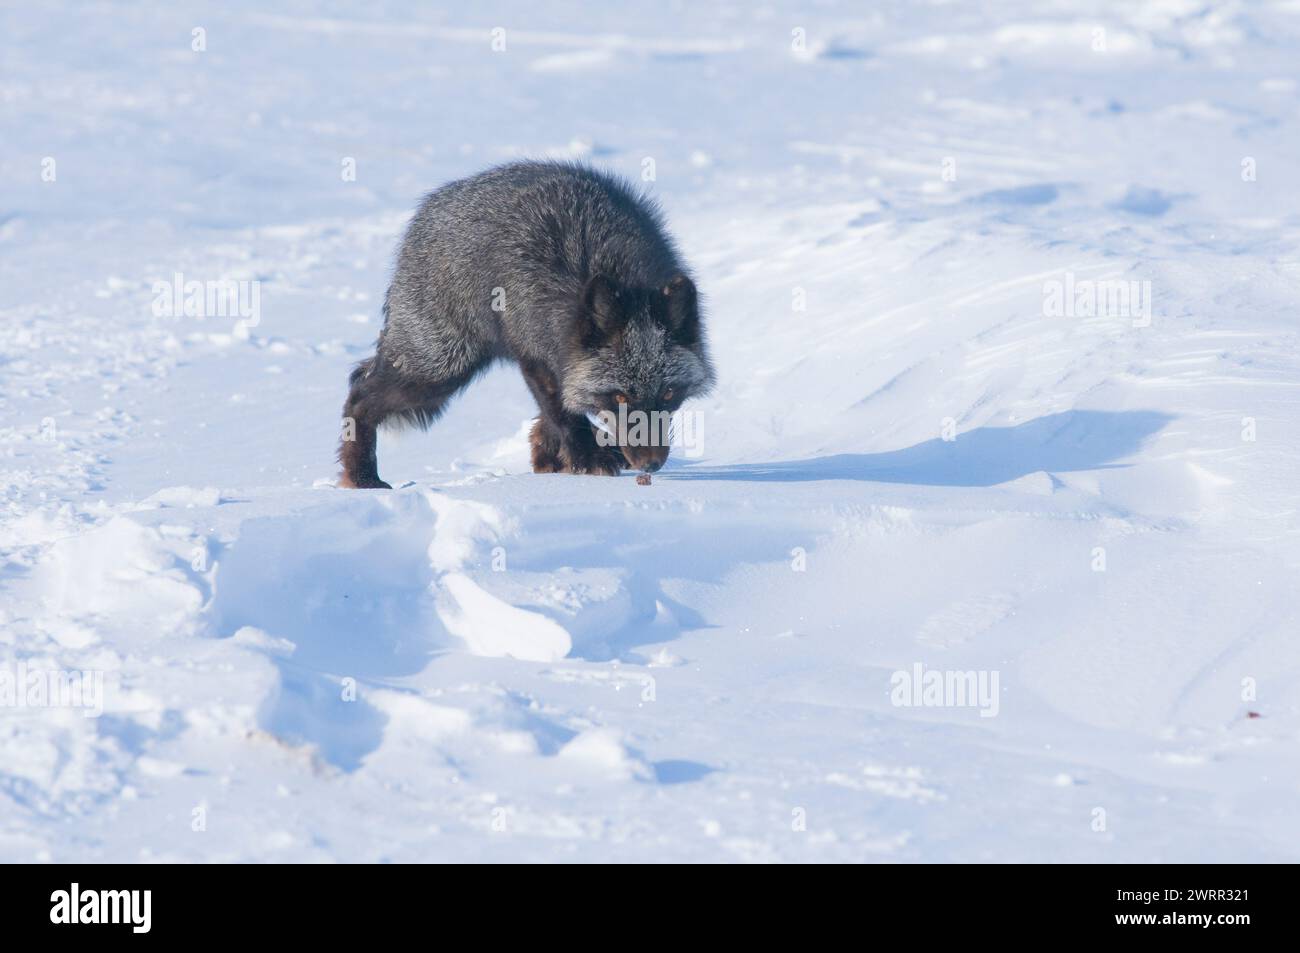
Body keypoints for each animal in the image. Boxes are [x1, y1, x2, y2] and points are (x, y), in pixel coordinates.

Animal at [338, 161, 715, 489]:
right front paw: (587, 459)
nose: (650, 465)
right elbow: (563, 413)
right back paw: (362, 479)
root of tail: (429, 207)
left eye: (668, 393)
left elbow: (555, 415)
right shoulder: (535, 353)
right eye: (619, 396)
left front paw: (552, 458)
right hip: (438, 370)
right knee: (359, 392)